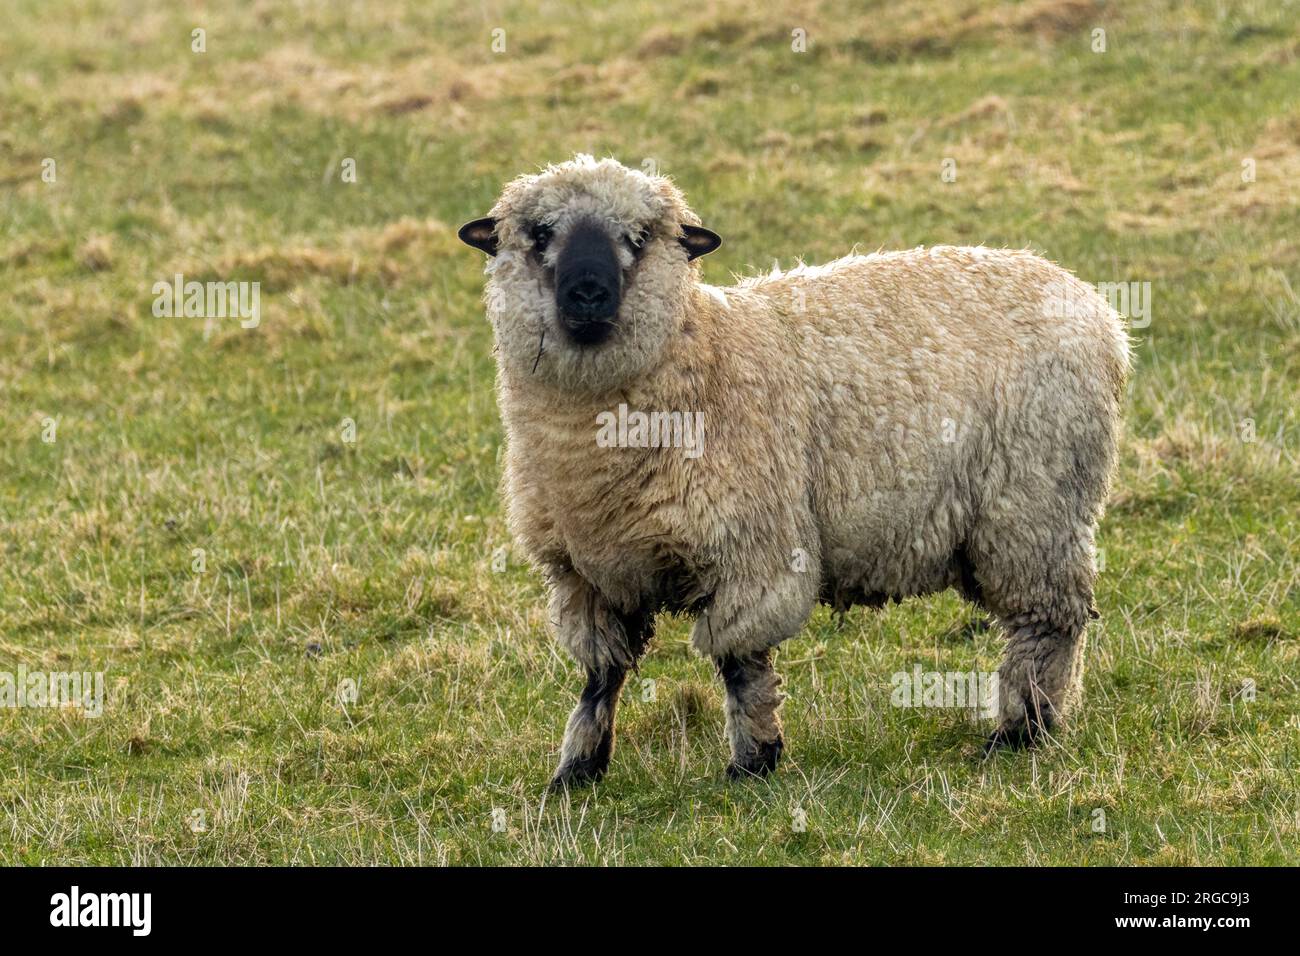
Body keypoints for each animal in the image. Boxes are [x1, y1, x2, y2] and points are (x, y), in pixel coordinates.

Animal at [459, 154, 1130, 789]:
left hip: (1035, 504)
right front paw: (576, 770)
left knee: (1049, 623)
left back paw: (1021, 731)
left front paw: (753, 761)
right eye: (540, 233)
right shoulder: (583, 572)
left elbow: (740, 661)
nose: (589, 293)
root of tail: (1095, 307)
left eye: (641, 235)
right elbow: (601, 675)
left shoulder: (753, 547)